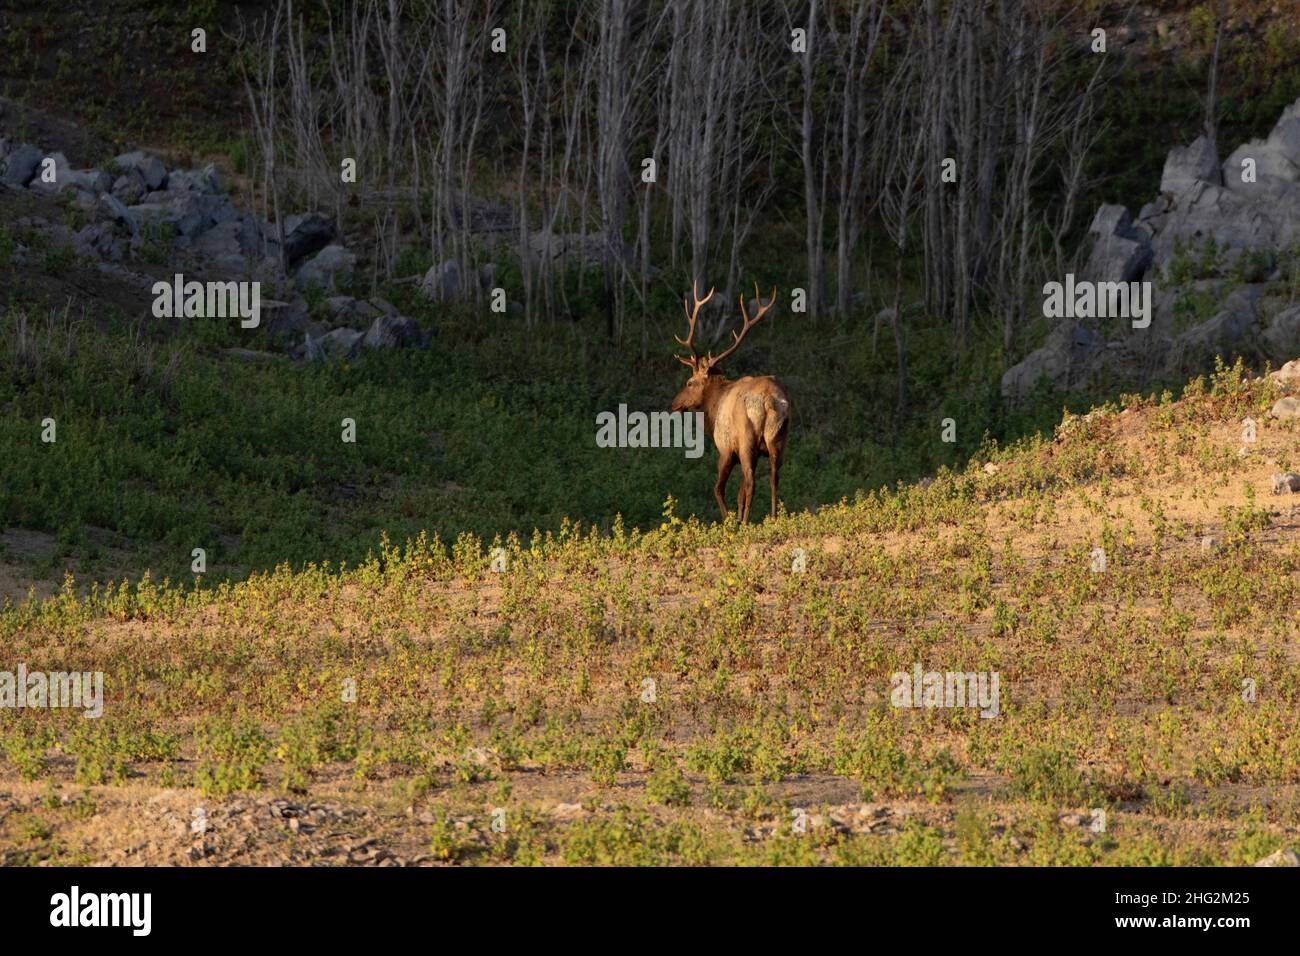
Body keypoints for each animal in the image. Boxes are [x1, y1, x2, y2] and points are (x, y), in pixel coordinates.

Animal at [671, 281, 790, 523]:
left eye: (689, 382)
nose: (674, 404)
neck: (713, 408)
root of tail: (768, 401)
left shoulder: (726, 449)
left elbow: (719, 489)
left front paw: (730, 522)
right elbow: (739, 494)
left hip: (746, 441)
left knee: (751, 482)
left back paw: (745, 523)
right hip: (777, 439)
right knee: (774, 478)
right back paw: (774, 518)